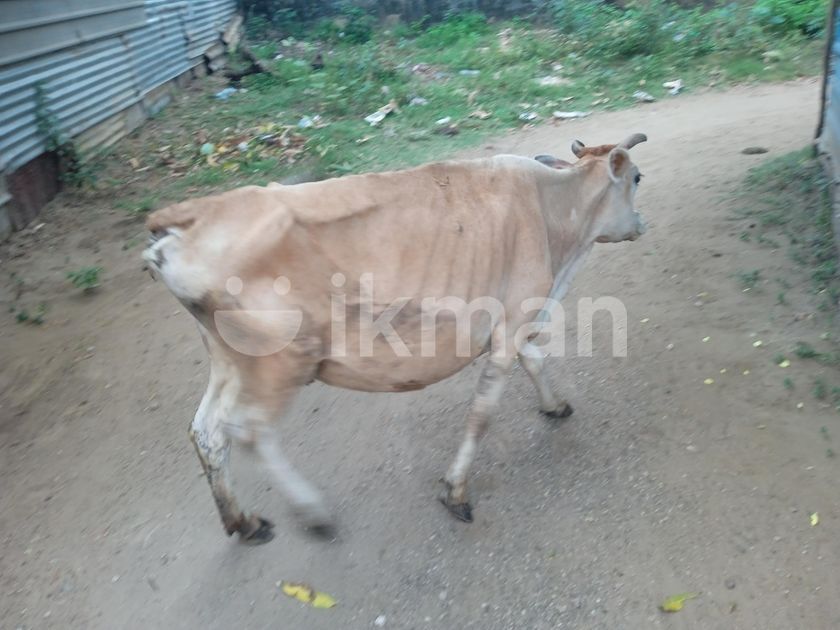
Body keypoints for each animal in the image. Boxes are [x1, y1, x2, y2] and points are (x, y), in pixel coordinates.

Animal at [143, 133, 648, 544]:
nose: (642, 224)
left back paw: (243, 522)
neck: (553, 213)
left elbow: (536, 361)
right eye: (638, 178)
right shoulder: (514, 318)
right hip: (282, 360)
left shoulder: (512, 320)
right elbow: (481, 414)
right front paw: (454, 491)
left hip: (228, 357)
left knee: (207, 431)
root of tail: (194, 215)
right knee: (249, 431)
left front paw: (554, 406)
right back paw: (313, 512)